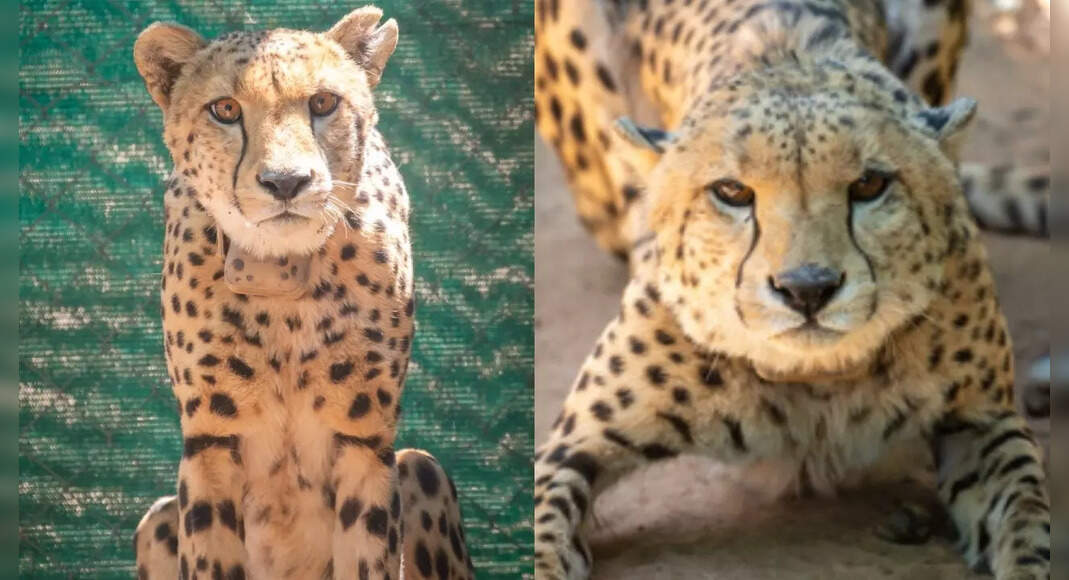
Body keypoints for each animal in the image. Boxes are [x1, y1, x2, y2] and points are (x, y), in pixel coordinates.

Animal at [129, 7, 474, 579]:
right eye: (225, 109)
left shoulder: (366, 441)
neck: (280, 278)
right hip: (158, 519)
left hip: (420, 466)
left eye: (323, 103)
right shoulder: (209, 442)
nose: (286, 182)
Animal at [533, 1, 1049, 579]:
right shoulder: (571, 445)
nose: (807, 289)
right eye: (731, 191)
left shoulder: (985, 421)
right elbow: (539, 542)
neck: (815, 378)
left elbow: (1026, 525)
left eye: (870, 185)